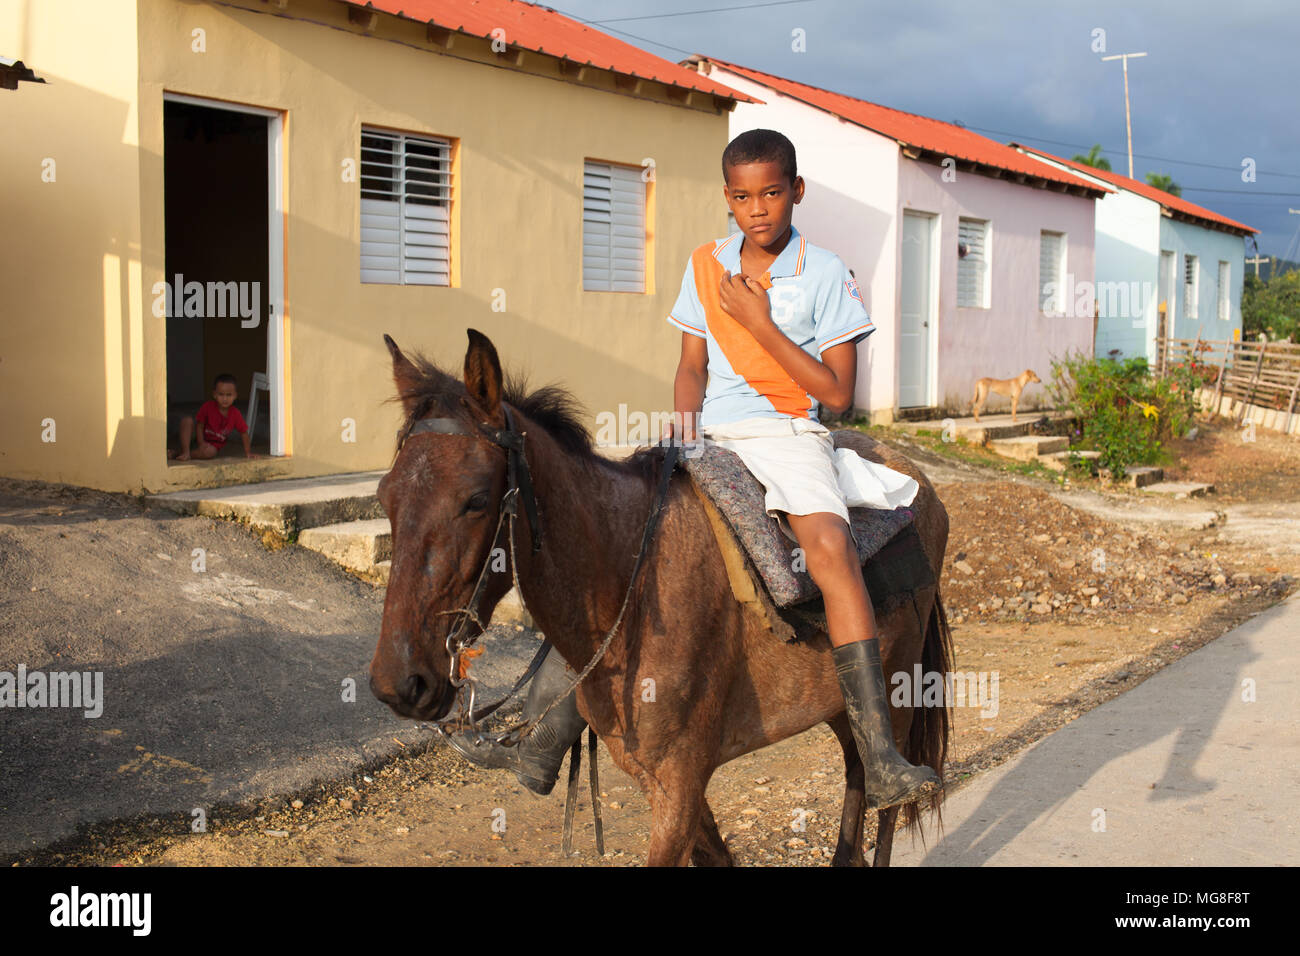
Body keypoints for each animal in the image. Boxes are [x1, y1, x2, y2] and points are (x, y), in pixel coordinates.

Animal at [368, 329, 953, 866]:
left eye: (476, 500)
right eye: (385, 496)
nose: (401, 683)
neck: (631, 582)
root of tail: (920, 481)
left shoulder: (679, 786)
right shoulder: (669, 787)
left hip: (898, 698)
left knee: (882, 804)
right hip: (836, 705)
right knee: (855, 782)